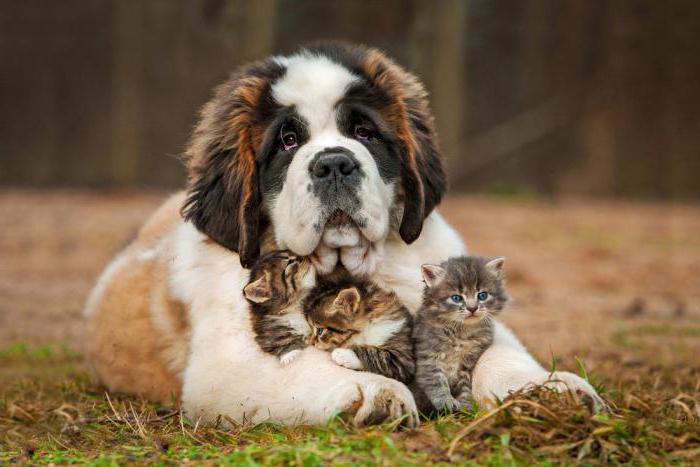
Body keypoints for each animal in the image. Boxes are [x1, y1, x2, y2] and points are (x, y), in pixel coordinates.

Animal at [242, 252, 412, 384]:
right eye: (289, 262)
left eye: (320, 330)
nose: (306, 257)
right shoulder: (267, 326)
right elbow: (276, 340)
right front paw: (290, 355)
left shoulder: (402, 360)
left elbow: (376, 354)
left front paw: (344, 354)